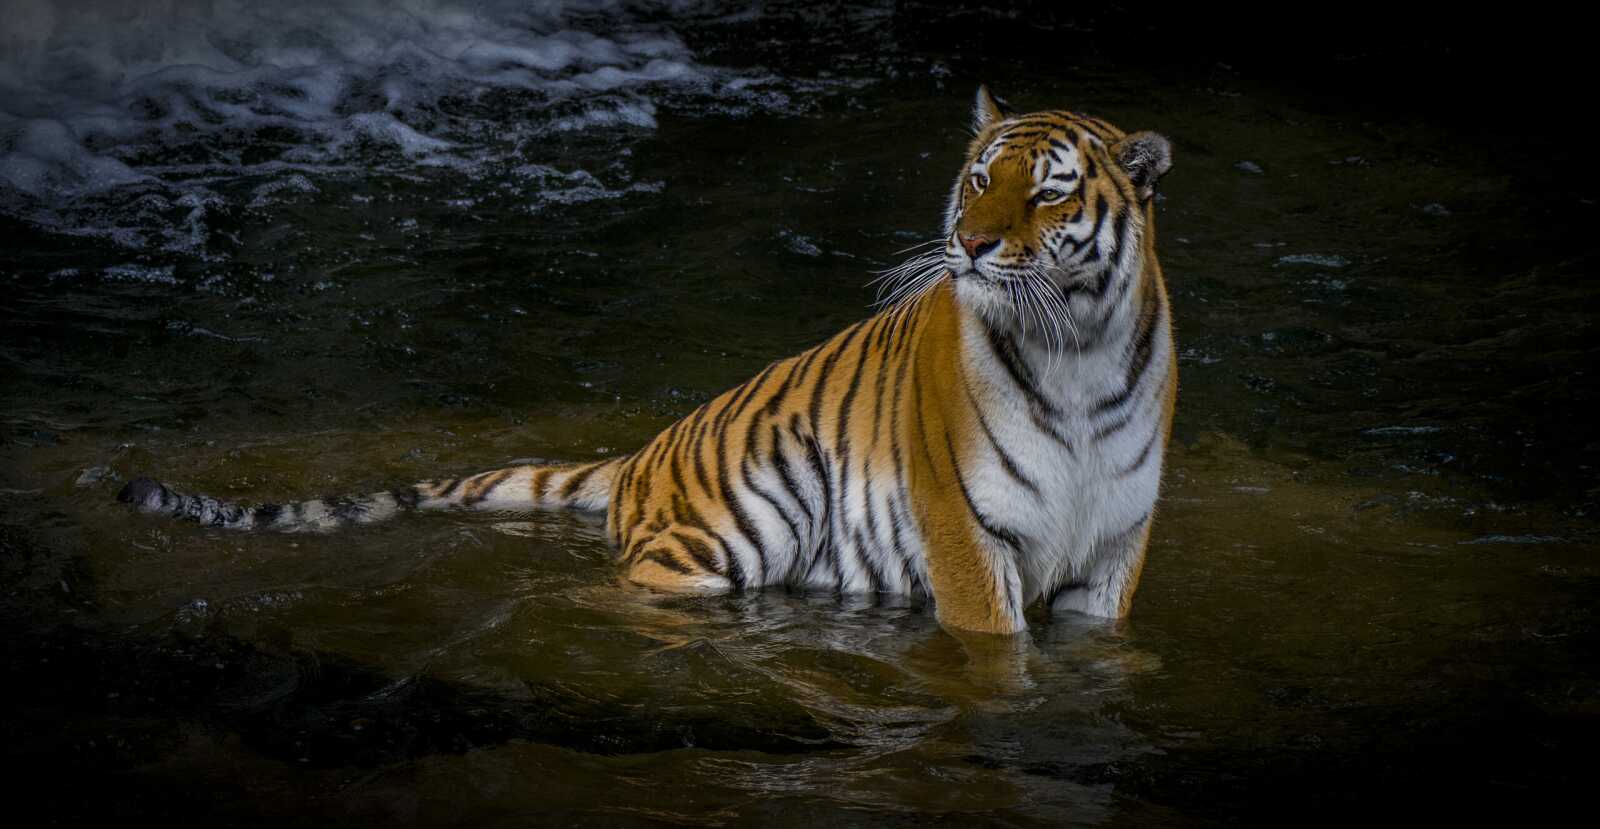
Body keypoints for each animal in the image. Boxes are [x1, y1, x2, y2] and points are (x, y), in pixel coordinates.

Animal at [118, 86, 1177, 635]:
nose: (969, 242)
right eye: (978, 176)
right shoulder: (964, 533)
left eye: (1045, 192)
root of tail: (642, 451)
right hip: (739, 529)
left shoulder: (1115, 547)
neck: (1075, 350)